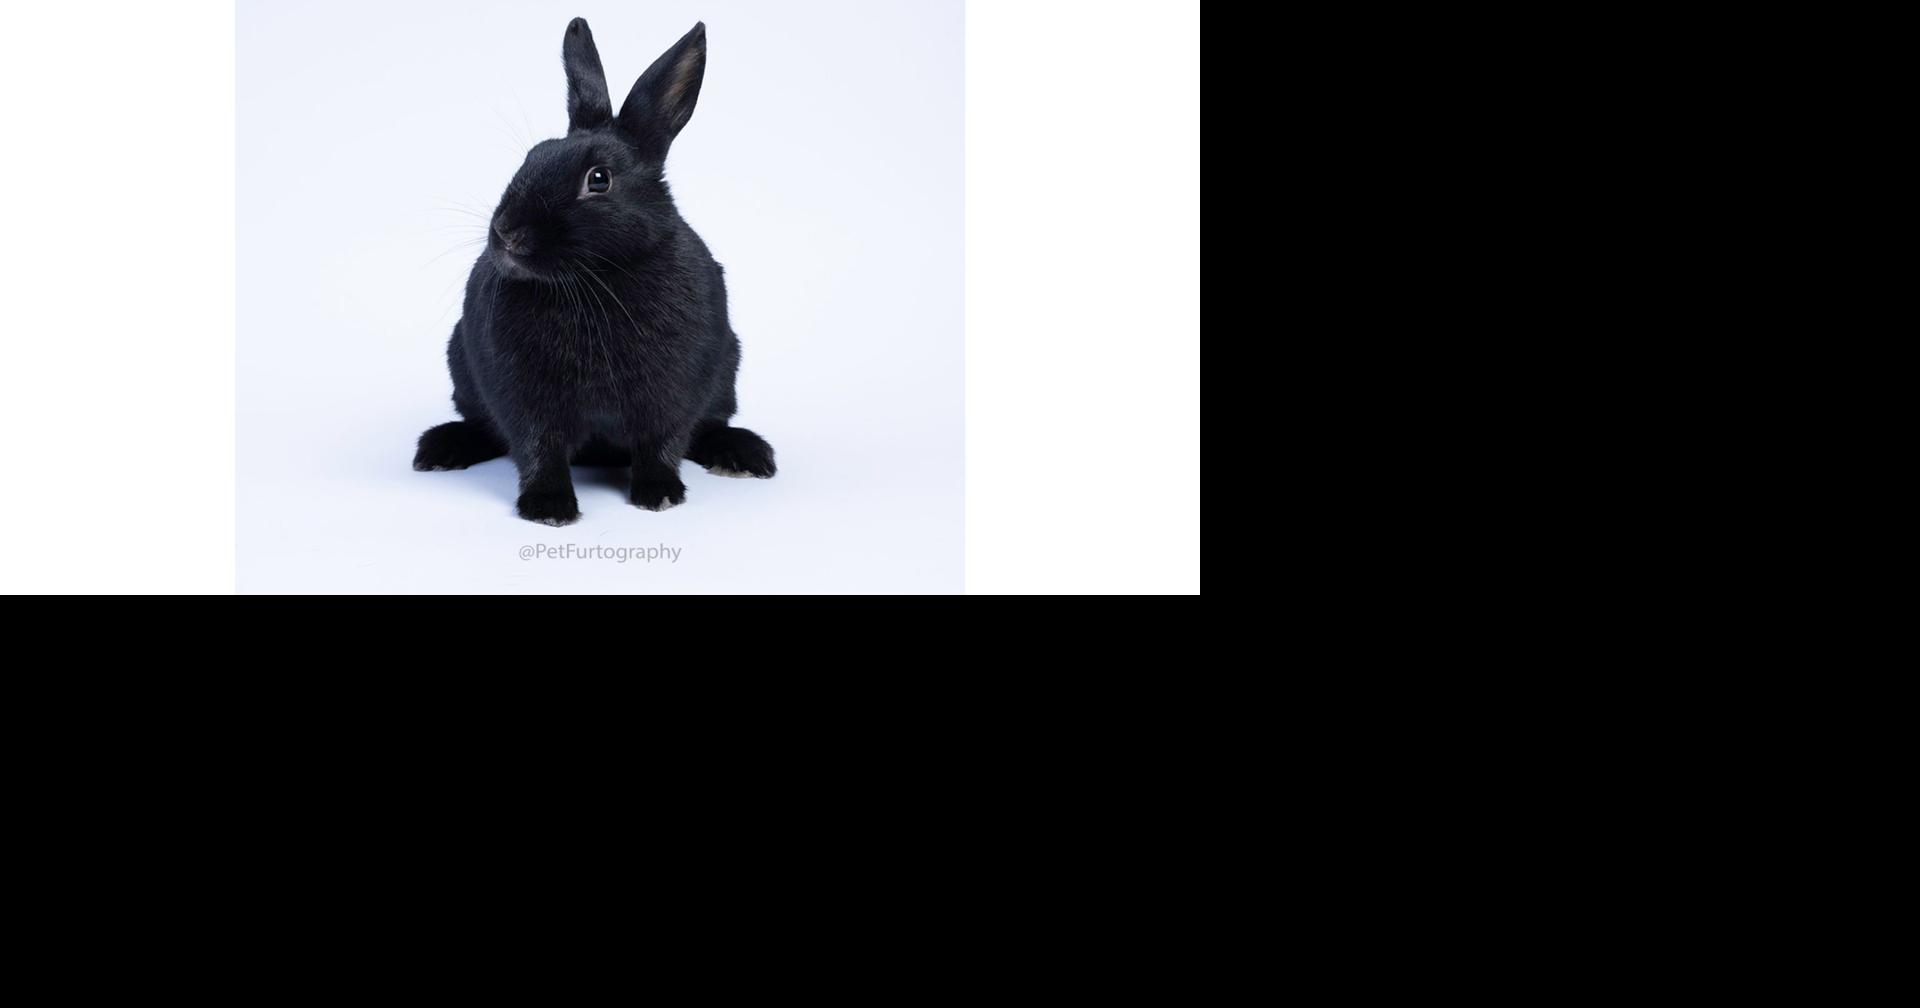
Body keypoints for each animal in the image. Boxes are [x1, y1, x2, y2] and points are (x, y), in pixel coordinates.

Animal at [412, 18, 775, 524]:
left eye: (598, 179)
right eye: (532, 157)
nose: (507, 234)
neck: (590, 283)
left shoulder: (676, 392)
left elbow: (662, 443)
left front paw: (660, 494)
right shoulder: (523, 396)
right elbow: (538, 448)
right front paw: (549, 507)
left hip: (727, 371)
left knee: (708, 427)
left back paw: (746, 455)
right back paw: (440, 448)